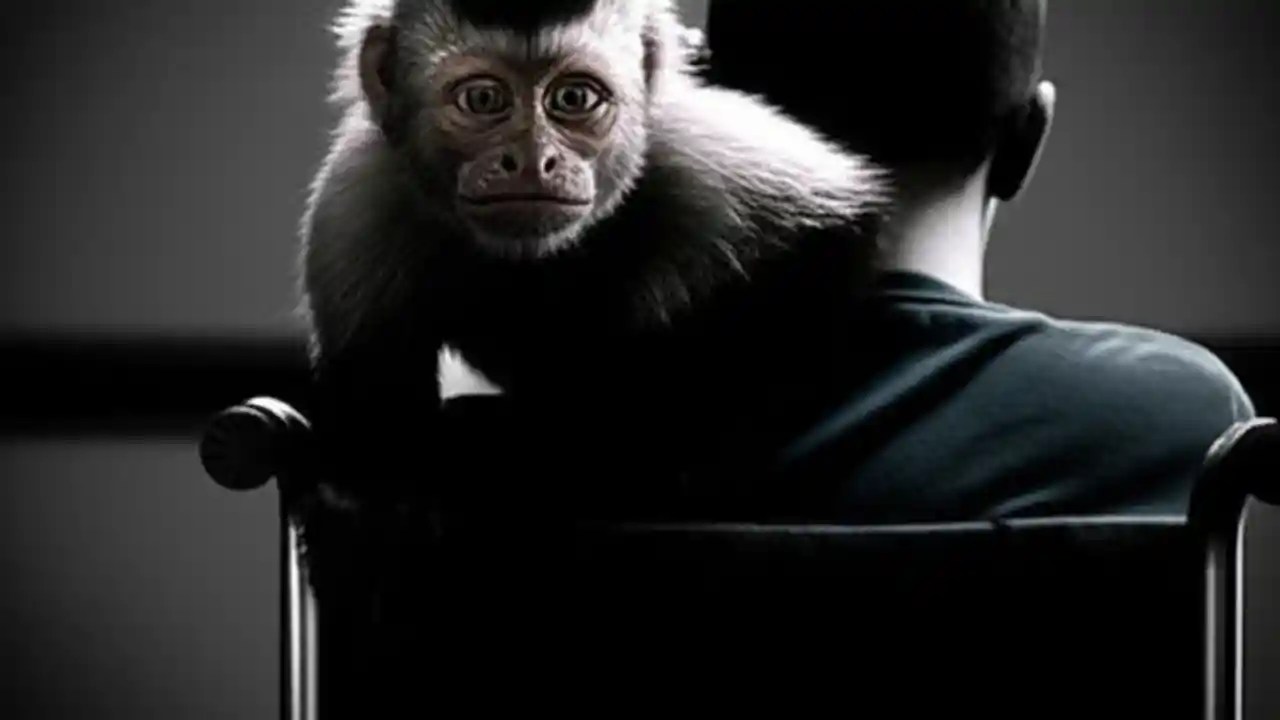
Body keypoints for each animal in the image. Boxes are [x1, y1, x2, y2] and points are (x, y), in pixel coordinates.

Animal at [297, 0, 889, 523]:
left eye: (574, 97)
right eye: (484, 99)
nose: (532, 160)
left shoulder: (689, 150)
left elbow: (833, 229)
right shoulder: (359, 197)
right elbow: (377, 436)